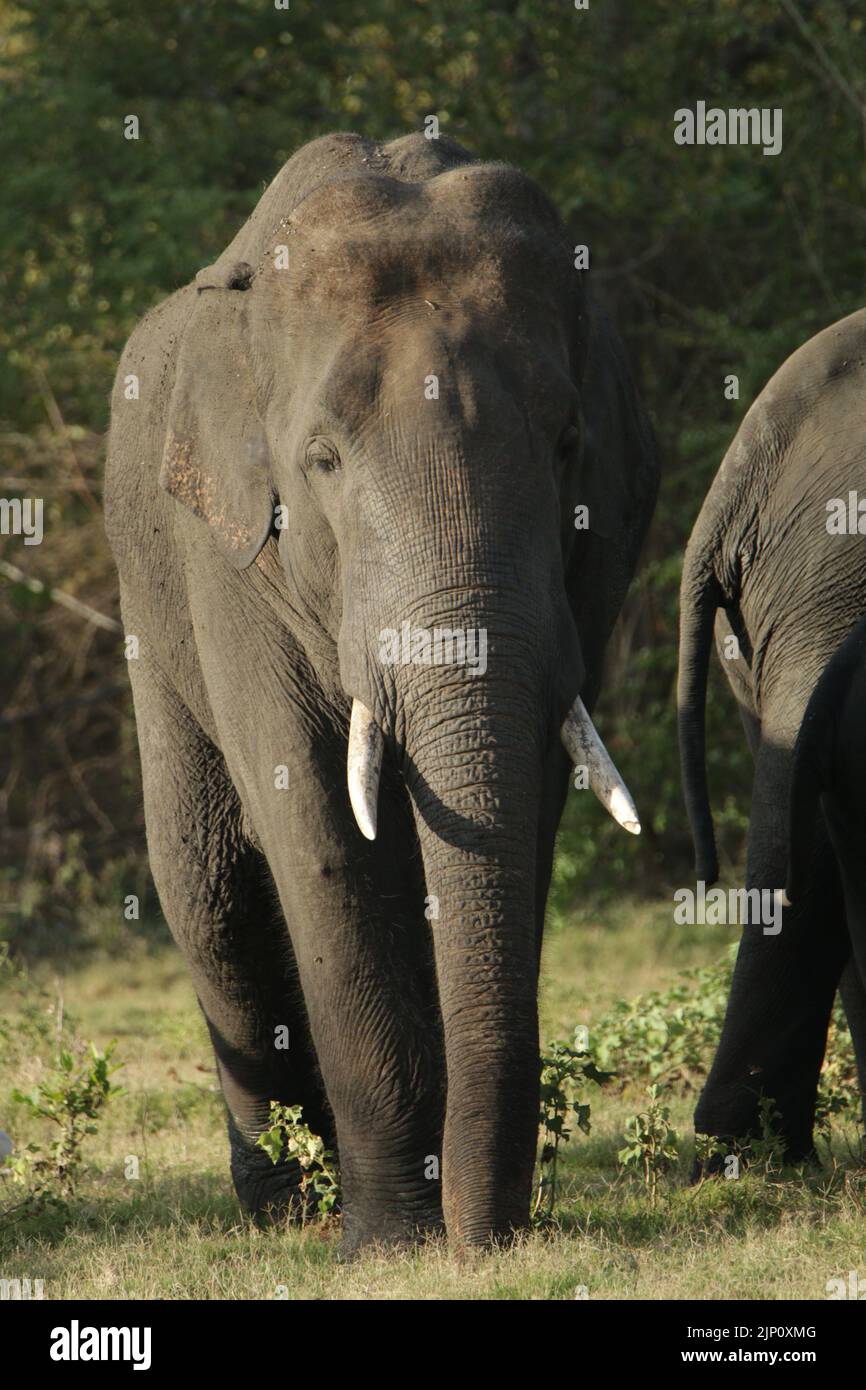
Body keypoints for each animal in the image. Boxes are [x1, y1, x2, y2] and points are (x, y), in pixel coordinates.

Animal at [105, 130, 658, 1253]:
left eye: (568, 445)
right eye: (318, 459)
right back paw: (286, 1206)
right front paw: (393, 1240)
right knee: (208, 890)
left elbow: (523, 815)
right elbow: (318, 828)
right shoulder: (231, 558)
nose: (483, 1242)